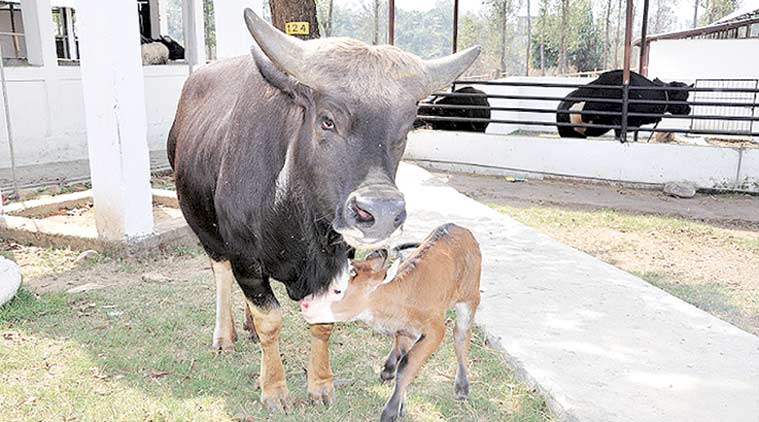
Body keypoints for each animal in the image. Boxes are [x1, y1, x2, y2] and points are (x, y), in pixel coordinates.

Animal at [300, 224, 482, 422]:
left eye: (338, 290)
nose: (305, 303)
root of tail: (460, 228)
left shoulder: (435, 329)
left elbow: (407, 364)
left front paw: (390, 412)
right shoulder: (403, 330)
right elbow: (404, 358)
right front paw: (401, 405)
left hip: (470, 295)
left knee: (461, 335)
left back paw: (462, 388)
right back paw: (388, 369)